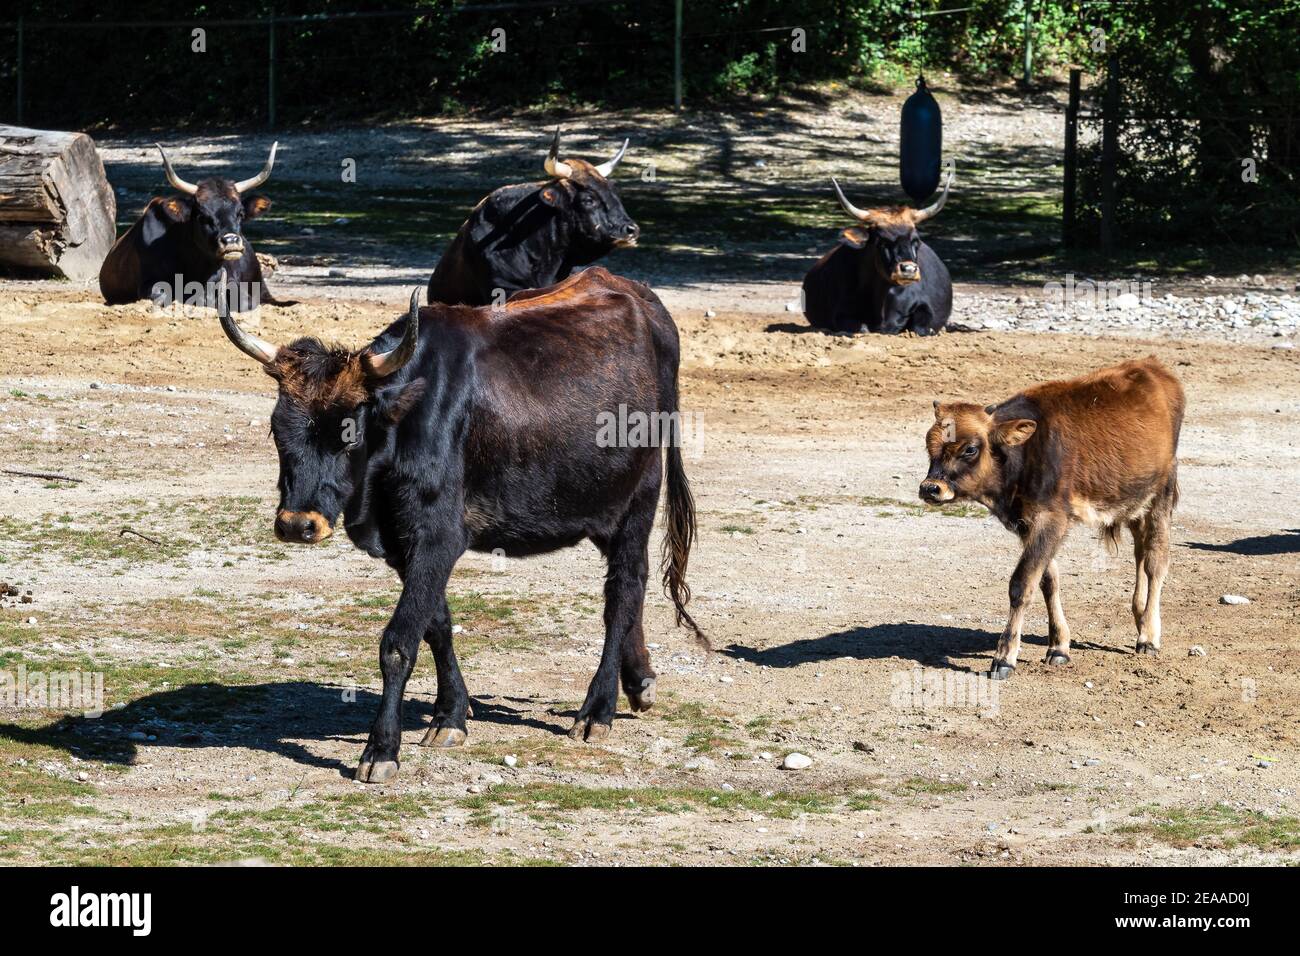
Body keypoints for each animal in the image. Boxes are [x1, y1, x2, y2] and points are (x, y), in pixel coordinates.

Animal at [216, 266, 704, 783]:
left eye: (349, 433)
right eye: (277, 430)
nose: (297, 524)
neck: (404, 420)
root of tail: (642, 300)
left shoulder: (437, 537)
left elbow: (399, 642)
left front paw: (381, 749)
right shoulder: (403, 545)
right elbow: (437, 625)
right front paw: (450, 715)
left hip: (638, 500)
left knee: (623, 591)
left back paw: (597, 710)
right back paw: (639, 680)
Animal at [802, 173, 953, 335]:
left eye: (916, 241)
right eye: (882, 241)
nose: (909, 270)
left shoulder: (923, 306)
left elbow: (920, 327)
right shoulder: (840, 313)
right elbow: (862, 328)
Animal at [919, 357, 1184, 679]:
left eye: (970, 448)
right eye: (929, 445)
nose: (930, 488)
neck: (1024, 453)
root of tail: (1152, 368)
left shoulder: (1051, 520)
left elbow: (1022, 584)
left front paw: (1004, 657)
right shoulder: (1027, 524)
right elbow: (1048, 581)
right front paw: (1058, 647)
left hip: (1162, 495)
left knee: (1155, 561)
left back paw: (1148, 635)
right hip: (1134, 500)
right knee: (1140, 554)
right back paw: (1138, 615)